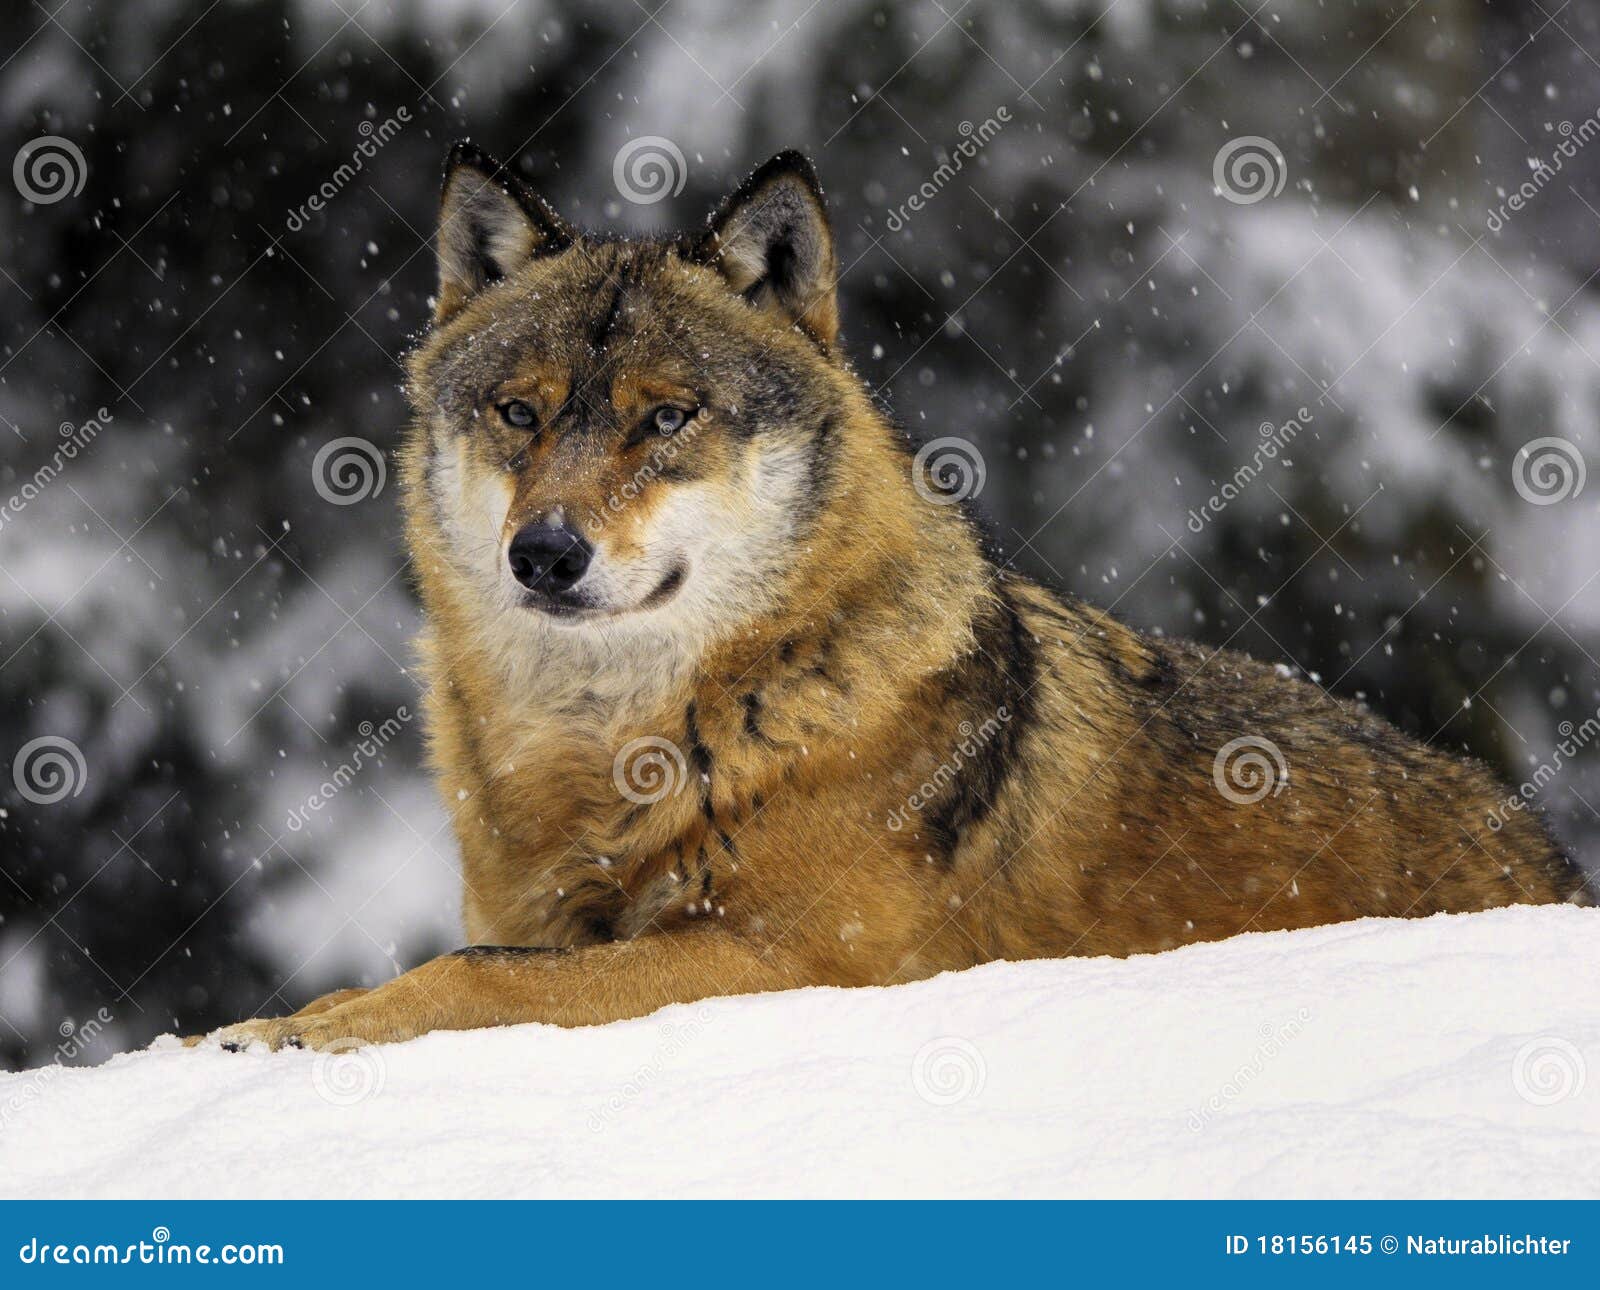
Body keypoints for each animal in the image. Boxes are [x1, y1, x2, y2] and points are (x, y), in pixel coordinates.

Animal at [210, 145, 1591, 1050]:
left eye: (667, 419)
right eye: (518, 413)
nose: (543, 555)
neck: (619, 748)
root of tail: (1547, 854)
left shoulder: (786, 959)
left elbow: (480, 977)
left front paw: (286, 1033)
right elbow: (481, 952)